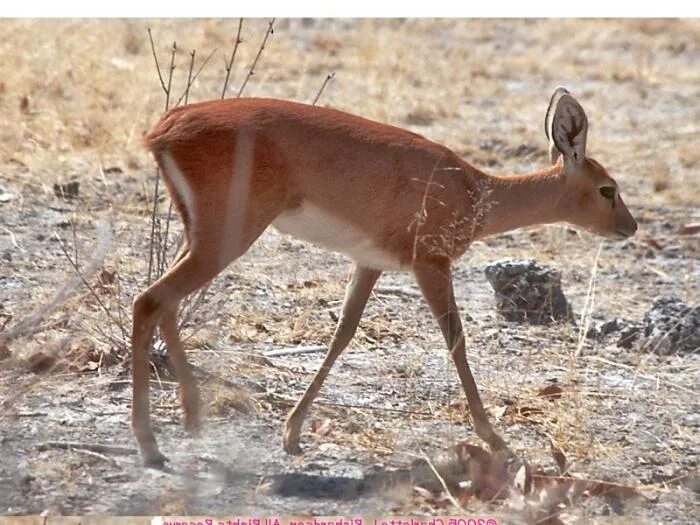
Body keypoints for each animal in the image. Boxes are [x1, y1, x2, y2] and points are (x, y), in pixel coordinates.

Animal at [133, 88, 640, 464]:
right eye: (607, 189)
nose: (630, 226)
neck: (477, 193)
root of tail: (164, 128)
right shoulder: (430, 263)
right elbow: (456, 340)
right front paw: (496, 440)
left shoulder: (370, 262)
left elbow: (343, 332)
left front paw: (292, 432)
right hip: (228, 237)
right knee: (150, 300)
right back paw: (151, 445)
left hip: (200, 236)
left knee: (165, 302)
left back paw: (192, 420)